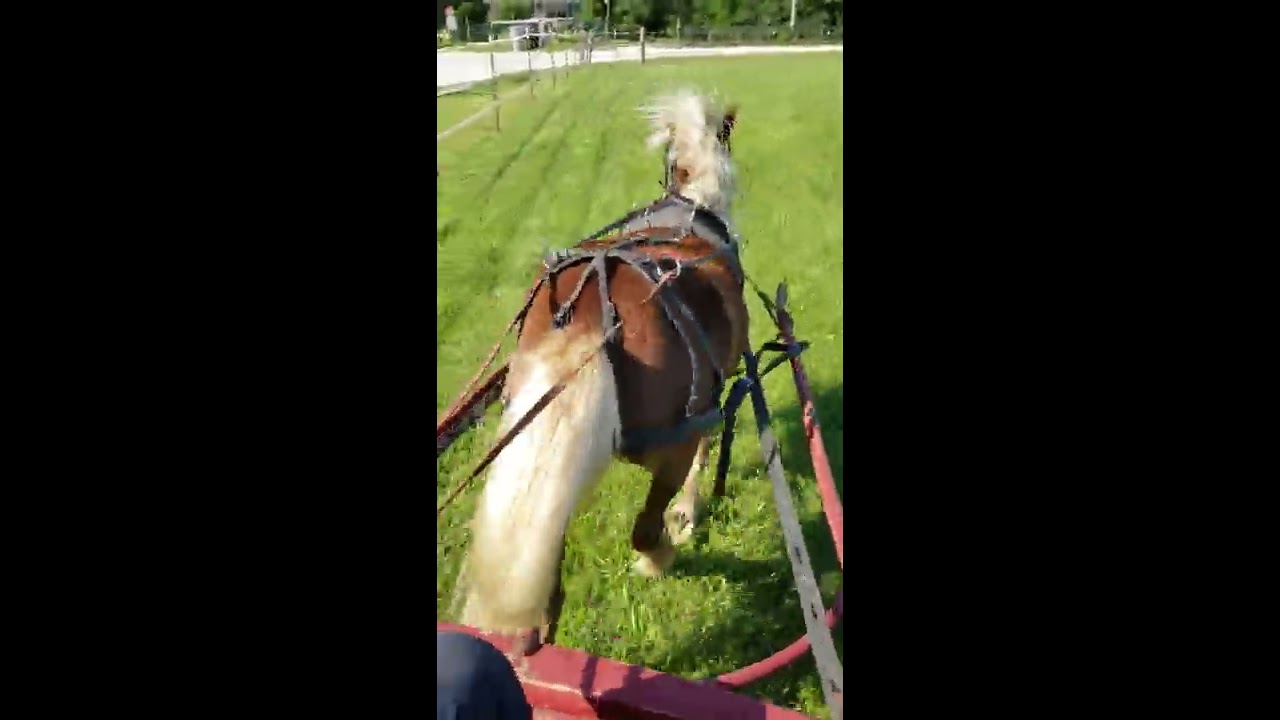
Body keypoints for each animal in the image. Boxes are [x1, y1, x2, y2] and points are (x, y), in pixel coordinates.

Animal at [456, 89, 748, 655]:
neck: (692, 207)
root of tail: (591, 309)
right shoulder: (715, 391)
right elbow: (704, 454)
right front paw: (686, 518)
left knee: (549, 586)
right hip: (672, 438)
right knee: (649, 521)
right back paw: (661, 551)